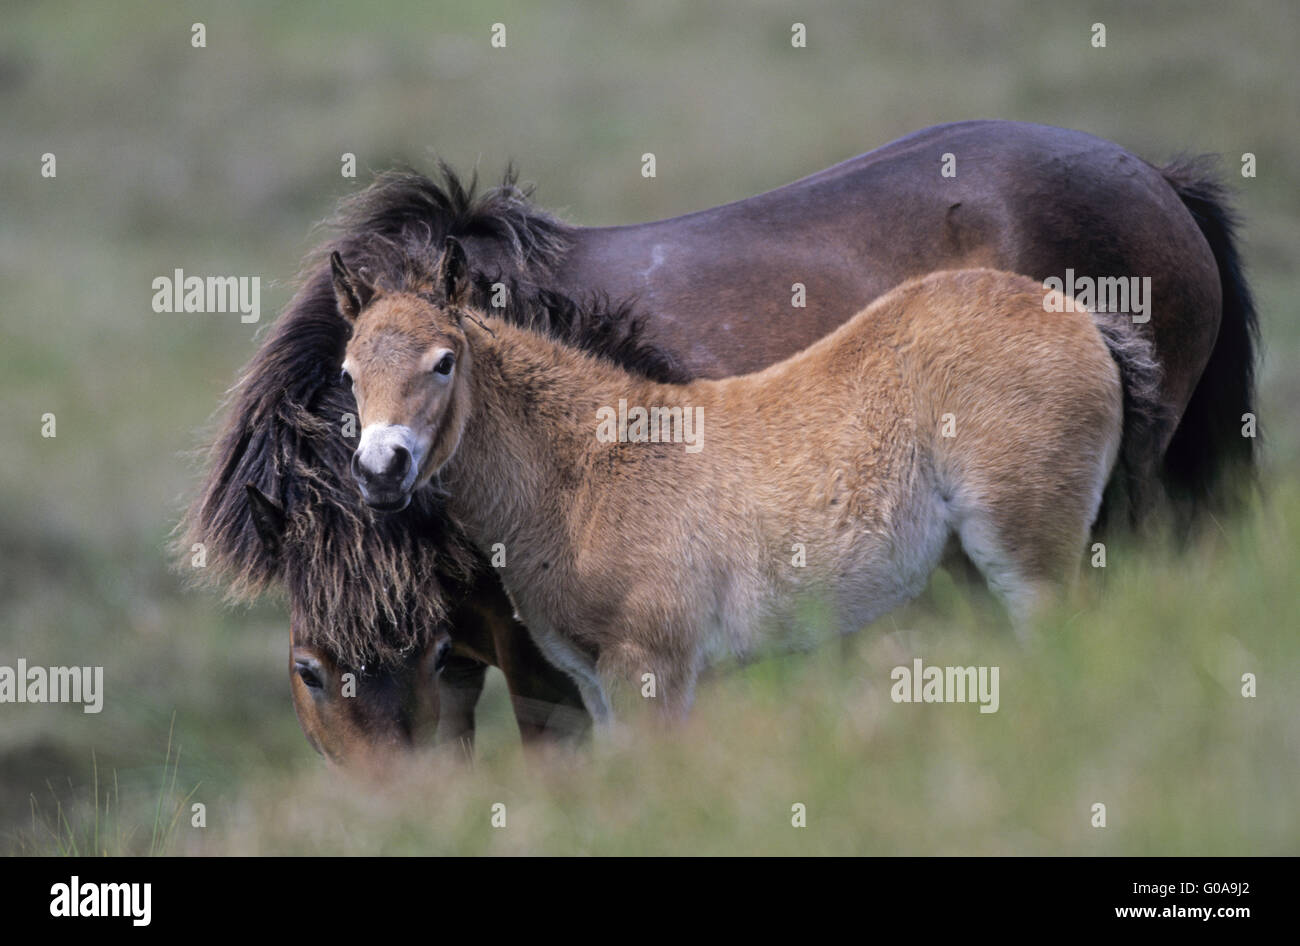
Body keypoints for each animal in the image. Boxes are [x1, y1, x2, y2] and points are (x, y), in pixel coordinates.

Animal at [339, 244, 1166, 721]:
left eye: (444, 362)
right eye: (347, 374)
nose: (382, 470)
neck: (583, 476)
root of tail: (1082, 316)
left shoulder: (651, 670)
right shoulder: (599, 686)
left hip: (1028, 555)